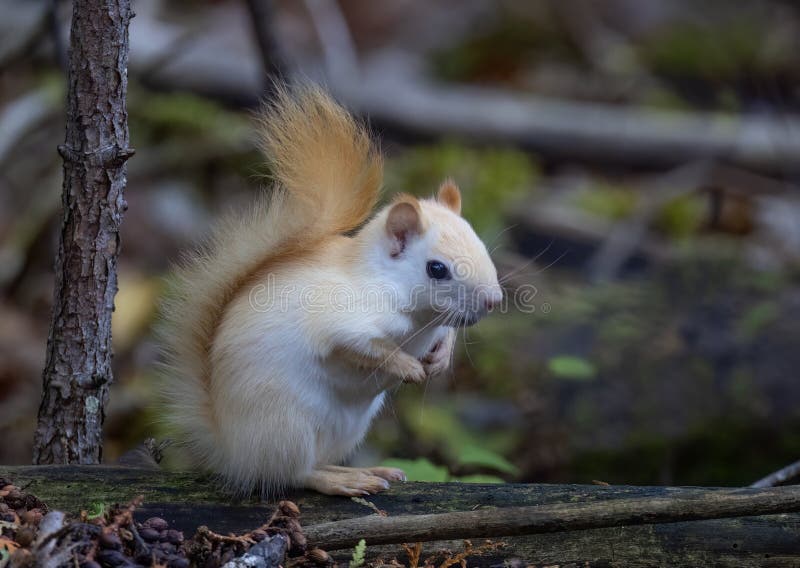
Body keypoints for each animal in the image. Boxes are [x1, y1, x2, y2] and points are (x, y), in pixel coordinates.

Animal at [159, 85, 503, 497]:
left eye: (480, 243)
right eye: (437, 269)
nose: (494, 300)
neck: (415, 315)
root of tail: (232, 451)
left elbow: (442, 336)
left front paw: (441, 359)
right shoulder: (337, 316)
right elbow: (361, 347)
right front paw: (406, 366)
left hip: (345, 429)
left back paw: (368, 471)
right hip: (286, 425)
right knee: (292, 474)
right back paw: (342, 481)